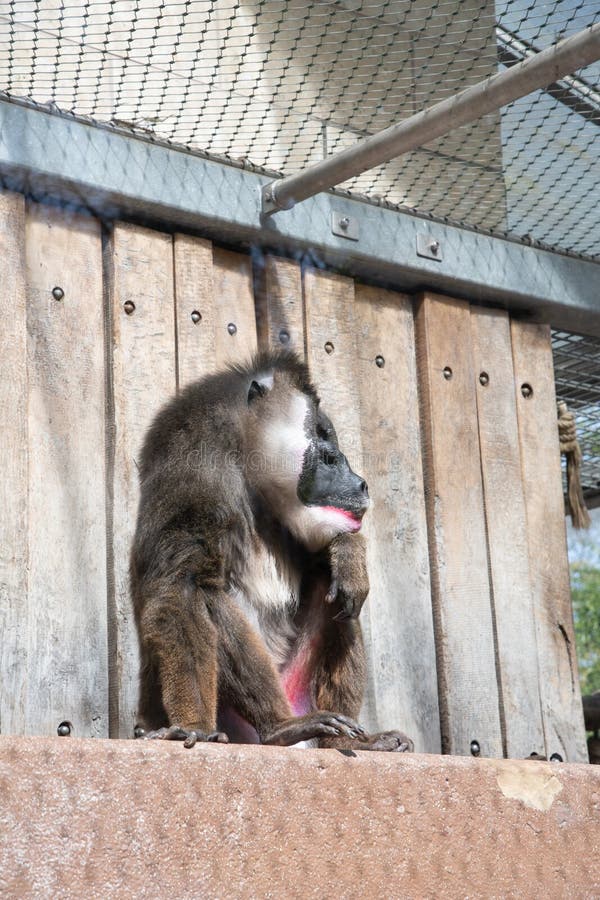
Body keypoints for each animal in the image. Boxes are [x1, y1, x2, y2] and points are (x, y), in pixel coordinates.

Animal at [130, 349, 413, 752]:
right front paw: (192, 726)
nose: (360, 484)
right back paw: (280, 728)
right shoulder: (197, 476)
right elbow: (181, 587)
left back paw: (353, 741)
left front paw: (349, 554)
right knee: (208, 596)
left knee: (338, 594)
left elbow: (324, 558)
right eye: (325, 447)